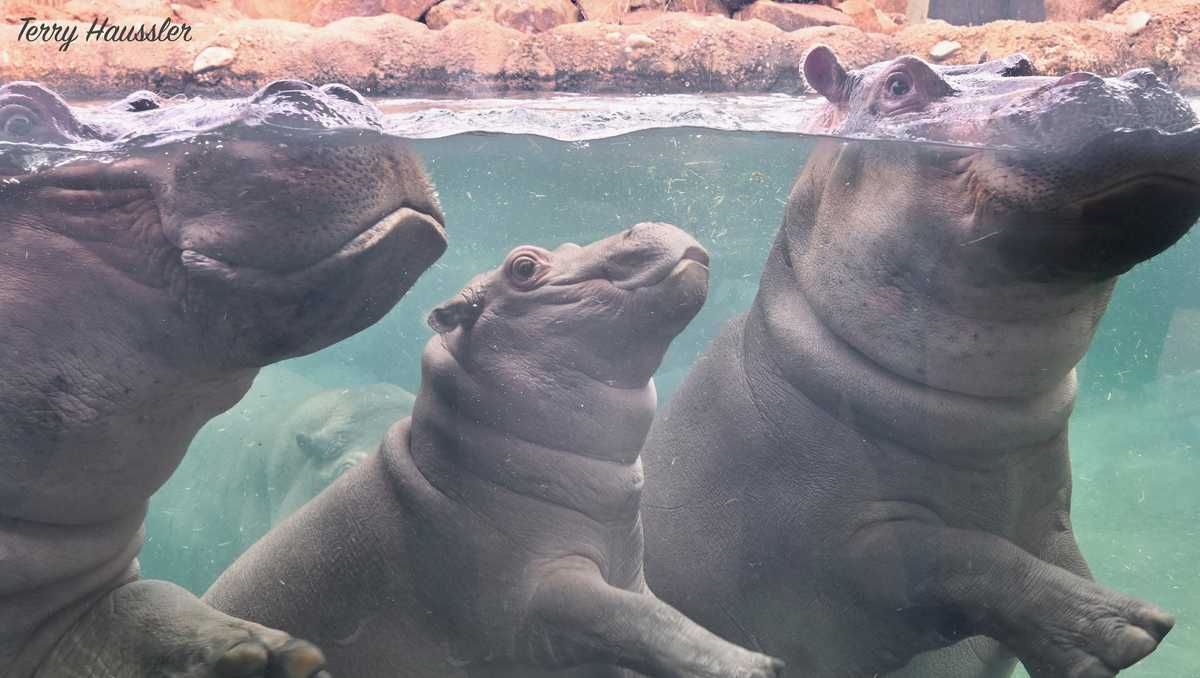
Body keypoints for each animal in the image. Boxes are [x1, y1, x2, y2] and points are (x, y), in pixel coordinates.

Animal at [206, 223, 785, 678]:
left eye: (569, 243)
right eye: (524, 267)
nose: (643, 224)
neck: (454, 467)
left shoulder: (629, 575)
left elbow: (653, 618)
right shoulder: (543, 595)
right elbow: (647, 623)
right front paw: (760, 665)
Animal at [639, 48, 1200, 678]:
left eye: (1024, 60)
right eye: (899, 84)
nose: (1124, 84)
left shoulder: (1048, 506)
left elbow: (1055, 556)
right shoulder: (849, 548)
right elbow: (965, 555)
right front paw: (1126, 629)